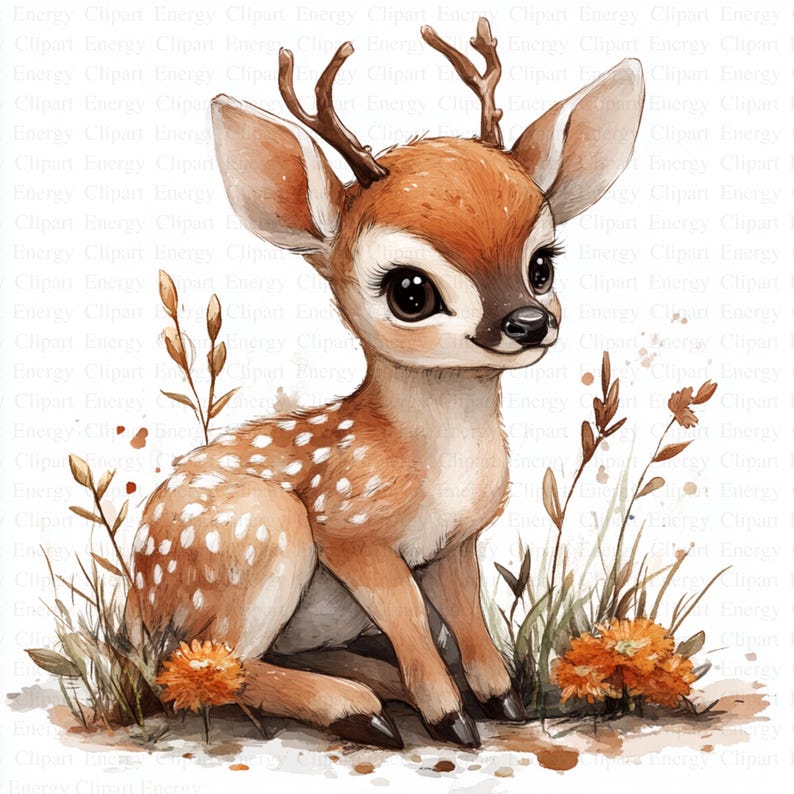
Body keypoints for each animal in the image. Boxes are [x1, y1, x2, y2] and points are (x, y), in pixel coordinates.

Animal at [126, 19, 644, 749]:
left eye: (541, 265)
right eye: (409, 291)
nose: (528, 321)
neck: (435, 460)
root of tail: (135, 607)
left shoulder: (458, 540)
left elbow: (466, 613)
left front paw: (500, 698)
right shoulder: (348, 531)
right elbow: (406, 614)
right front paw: (450, 717)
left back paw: (377, 687)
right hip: (260, 535)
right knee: (205, 672)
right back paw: (359, 709)